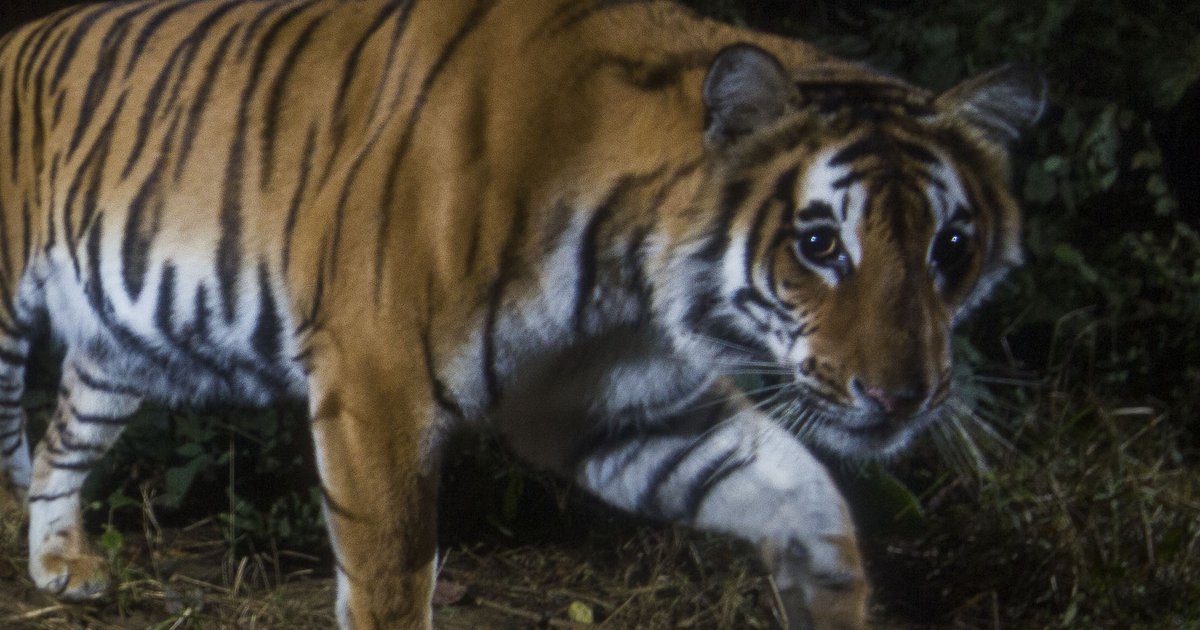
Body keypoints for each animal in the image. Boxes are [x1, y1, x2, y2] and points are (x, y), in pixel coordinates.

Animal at [0, 0, 1045, 628]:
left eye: (954, 247)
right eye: (821, 242)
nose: (905, 397)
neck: (634, 274)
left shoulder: (617, 406)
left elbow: (802, 491)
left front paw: (829, 596)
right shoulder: (376, 391)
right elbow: (391, 579)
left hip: (119, 348)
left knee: (57, 445)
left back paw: (61, 569)